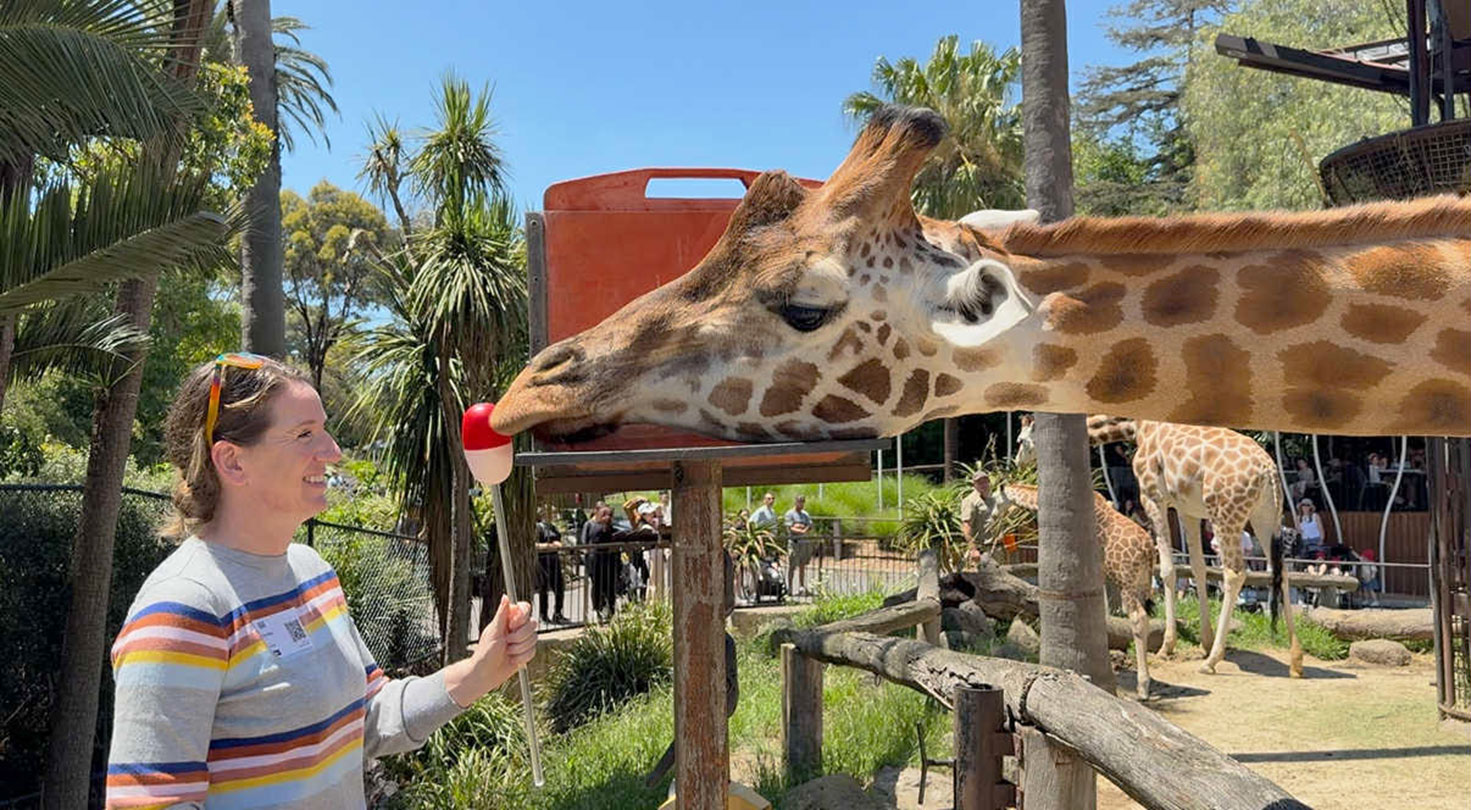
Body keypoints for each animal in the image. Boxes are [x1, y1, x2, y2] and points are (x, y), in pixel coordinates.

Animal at [992, 482, 1158, 698]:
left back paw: (1143, 688)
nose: (993, 516)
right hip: (1142, 584)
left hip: (1127, 582)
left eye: (995, 498)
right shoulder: (1100, 571)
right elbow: (1104, 608)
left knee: (1138, 618)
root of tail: (1148, 550)